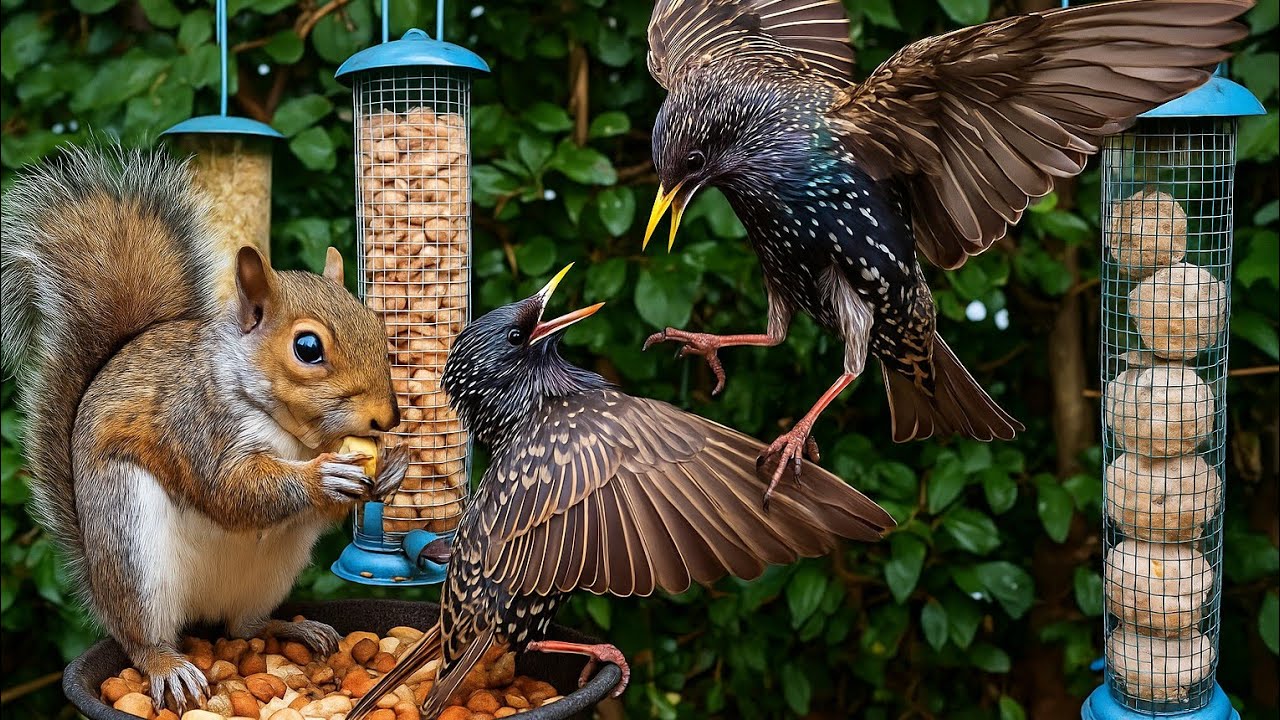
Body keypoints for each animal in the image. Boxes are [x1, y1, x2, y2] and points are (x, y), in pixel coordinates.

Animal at [0, 146, 407, 711]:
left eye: (376, 326)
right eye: (307, 348)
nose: (387, 419)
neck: (292, 435)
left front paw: (389, 471)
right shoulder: (194, 422)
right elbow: (228, 489)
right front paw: (322, 478)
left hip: (269, 573)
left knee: (242, 628)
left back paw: (294, 629)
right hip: (131, 542)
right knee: (143, 638)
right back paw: (168, 667)